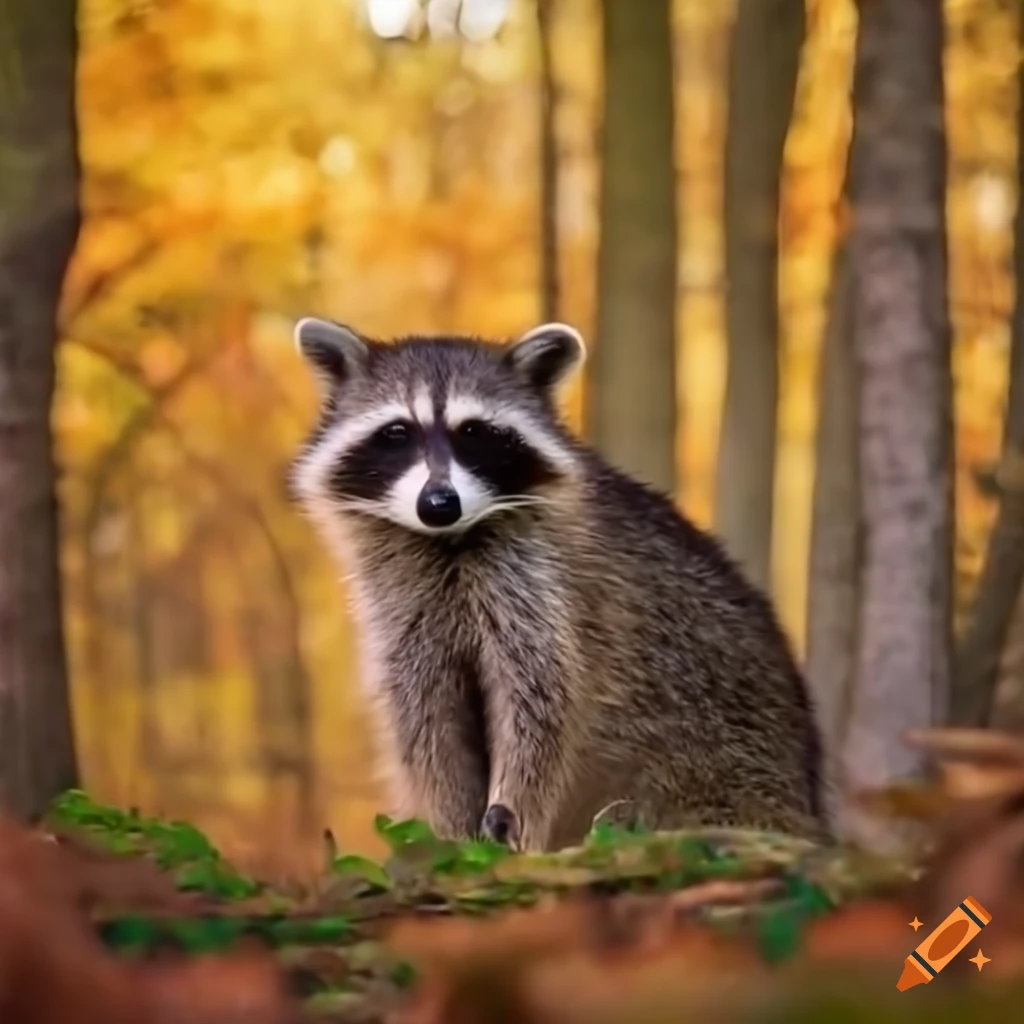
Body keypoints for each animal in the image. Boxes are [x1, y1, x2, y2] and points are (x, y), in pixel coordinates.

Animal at [290, 317, 827, 852]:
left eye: (475, 433)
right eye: (398, 432)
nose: (439, 503)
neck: (449, 540)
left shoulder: (542, 589)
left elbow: (540, 708)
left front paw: (512, 816)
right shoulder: (406, 604)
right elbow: (427, 720)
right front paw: (452, 827)